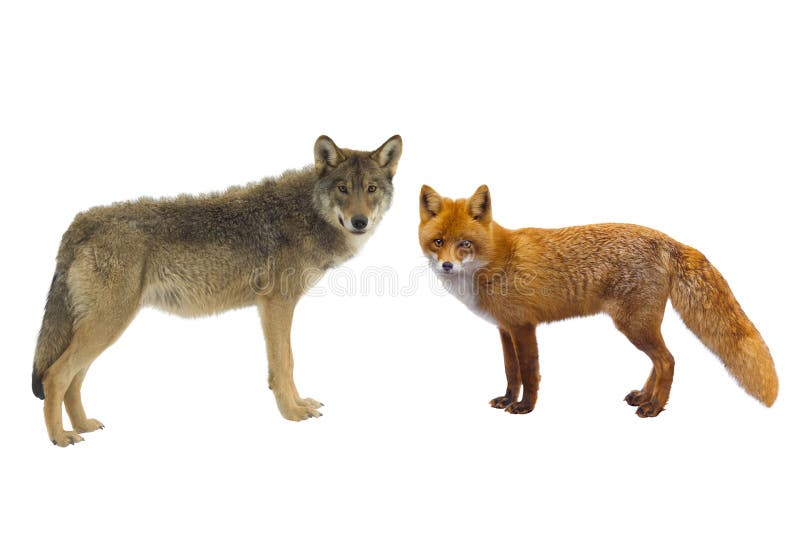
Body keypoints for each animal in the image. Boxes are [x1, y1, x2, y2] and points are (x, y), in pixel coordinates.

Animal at [33, 134, 402, 446]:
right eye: (342, 188)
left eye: (371, 188)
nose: (359, 222)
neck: (305, 212)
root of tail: (79, 223)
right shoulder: (277, 304)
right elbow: (284, 363)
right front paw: (292, 413)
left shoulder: (271, 307)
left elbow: (284, 362)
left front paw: (298, 405)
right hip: (107, 326)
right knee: (54, 376)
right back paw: (60, 437)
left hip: (102, 330)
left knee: (73, 380)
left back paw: (83, 426)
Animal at [418, 184, 778, 417]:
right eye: (438, 242)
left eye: (465, 244)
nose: (447, 266)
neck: (495, 259)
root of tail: (665, 238)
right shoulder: (505, 329)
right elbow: (511, 372)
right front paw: (508, 400)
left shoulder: (523, 326)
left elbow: (530, 373)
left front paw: (525, 407)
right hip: (640, 326)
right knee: (660, 361)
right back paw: (644, 397)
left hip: (633, 325)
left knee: (668, 361)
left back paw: (655, 407)